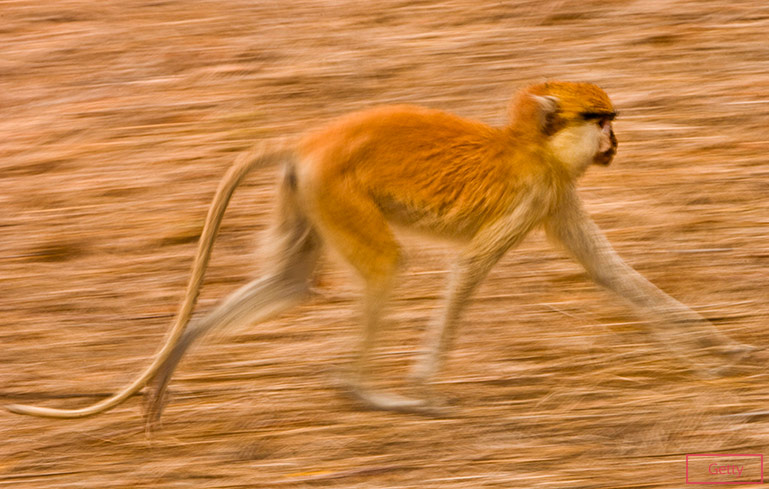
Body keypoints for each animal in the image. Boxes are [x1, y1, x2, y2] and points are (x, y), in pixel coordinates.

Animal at [6, 81, 754, 422]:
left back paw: (181, 352)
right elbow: (467, 270)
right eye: (599, 120)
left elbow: (611, 273)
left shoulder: (553, 193)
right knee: (385, 268)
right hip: (336, 191)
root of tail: (309, 140)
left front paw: (720, 352)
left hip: (307, 193)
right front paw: (424, 389)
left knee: (290, 280)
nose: (614, 143)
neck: (529, 143)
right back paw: (363, 389)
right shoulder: (533, 192)